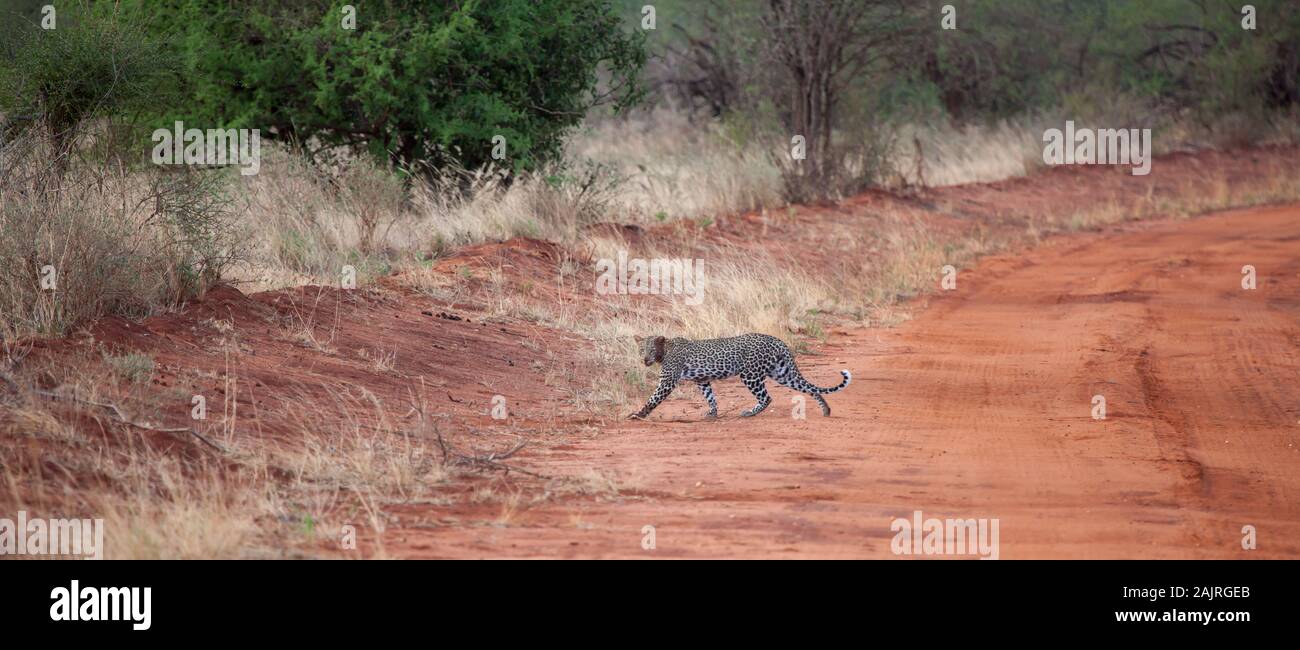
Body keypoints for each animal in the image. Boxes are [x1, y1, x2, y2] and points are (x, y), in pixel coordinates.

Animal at [628, 333, 851, 420]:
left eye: (651, 349)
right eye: (641, 349)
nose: (645, 359)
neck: (664, 351)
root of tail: (778, 341)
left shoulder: (667, 381)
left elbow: (653, 399)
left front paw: (638, 415)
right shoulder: (702, 380)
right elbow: (710, 397)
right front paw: (712, 413)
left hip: (750, 374)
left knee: (767, 397)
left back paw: (749, 413)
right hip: (782, 372)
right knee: (810, 388)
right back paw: (826, 410)